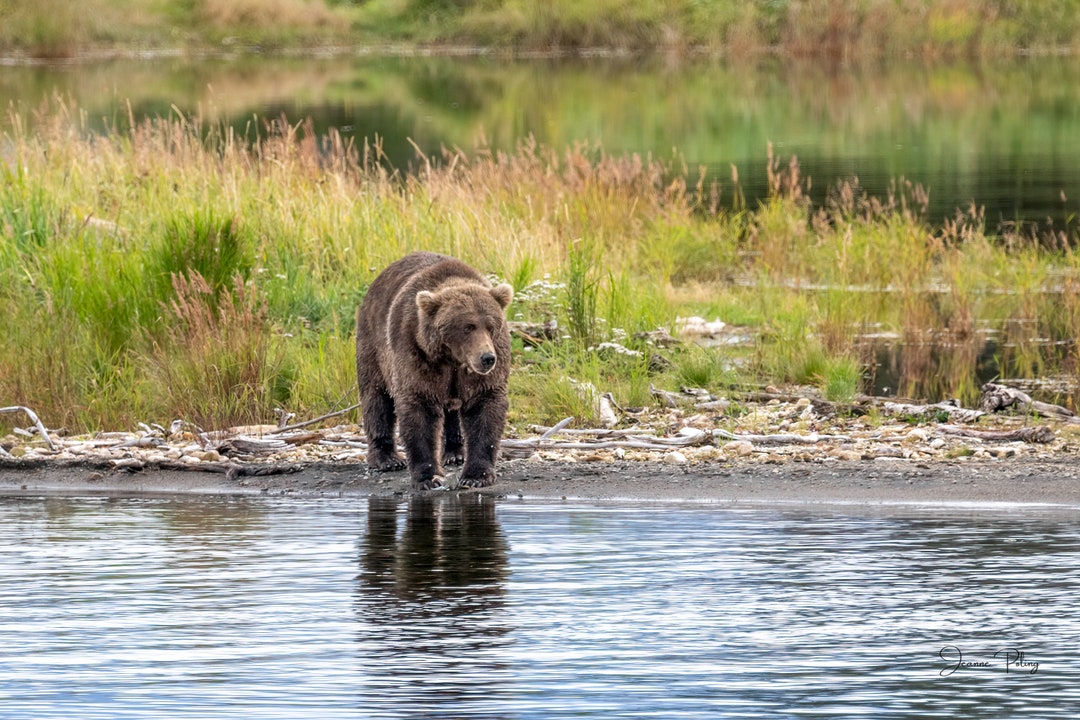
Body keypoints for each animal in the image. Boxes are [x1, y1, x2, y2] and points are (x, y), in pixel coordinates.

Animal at [355, 252, 514, 490]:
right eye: (468, 326)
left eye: (491, 325)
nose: (487, 358)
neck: (453, 359)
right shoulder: (416, 353)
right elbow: (419, 409)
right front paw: (428, 477)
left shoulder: (481, 372)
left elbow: (484, 409)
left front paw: (476, 475)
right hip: (373, 346)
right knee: (376, 397)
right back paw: (387, 459)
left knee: (452, 411)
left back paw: (455, 453)